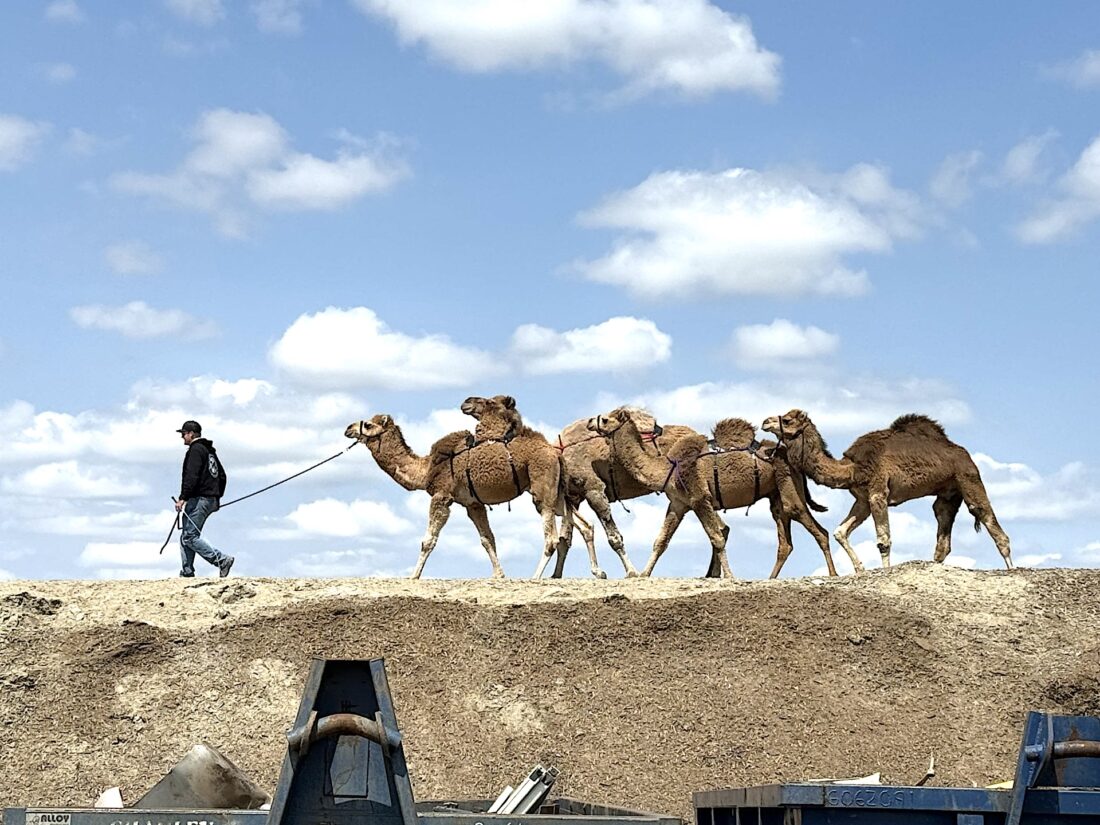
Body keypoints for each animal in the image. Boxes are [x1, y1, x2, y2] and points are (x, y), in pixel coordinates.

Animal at [344, 414, 566, 579]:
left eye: (368, 424)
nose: (348, 428)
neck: (426, 469)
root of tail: (554, 452)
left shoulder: (442, 496)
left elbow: (428, 540)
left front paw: (413, 576)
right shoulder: (473, 504)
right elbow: (487, 538)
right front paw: (499, 575)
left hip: (542, 486)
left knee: (551, 537)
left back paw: (535, 577)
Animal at [587, 407, 732, 577]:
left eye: (605, 419)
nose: (589, 422)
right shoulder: (679, 502)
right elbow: (662, 540)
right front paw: (643, 573)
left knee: (720, 529)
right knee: (723, 528)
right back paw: (712, 573)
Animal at [761, 409, 1013, 570]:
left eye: (787, 420)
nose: (765, 422)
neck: (852, 468)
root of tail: (964, 453)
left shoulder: (878, 493)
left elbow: (883, 541)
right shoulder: (862, 500)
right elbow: (840, 532)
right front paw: (860, 568)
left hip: (968, 478)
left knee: (990, 521)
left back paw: (1011, 568)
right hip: (948, 494)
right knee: (943, 531)